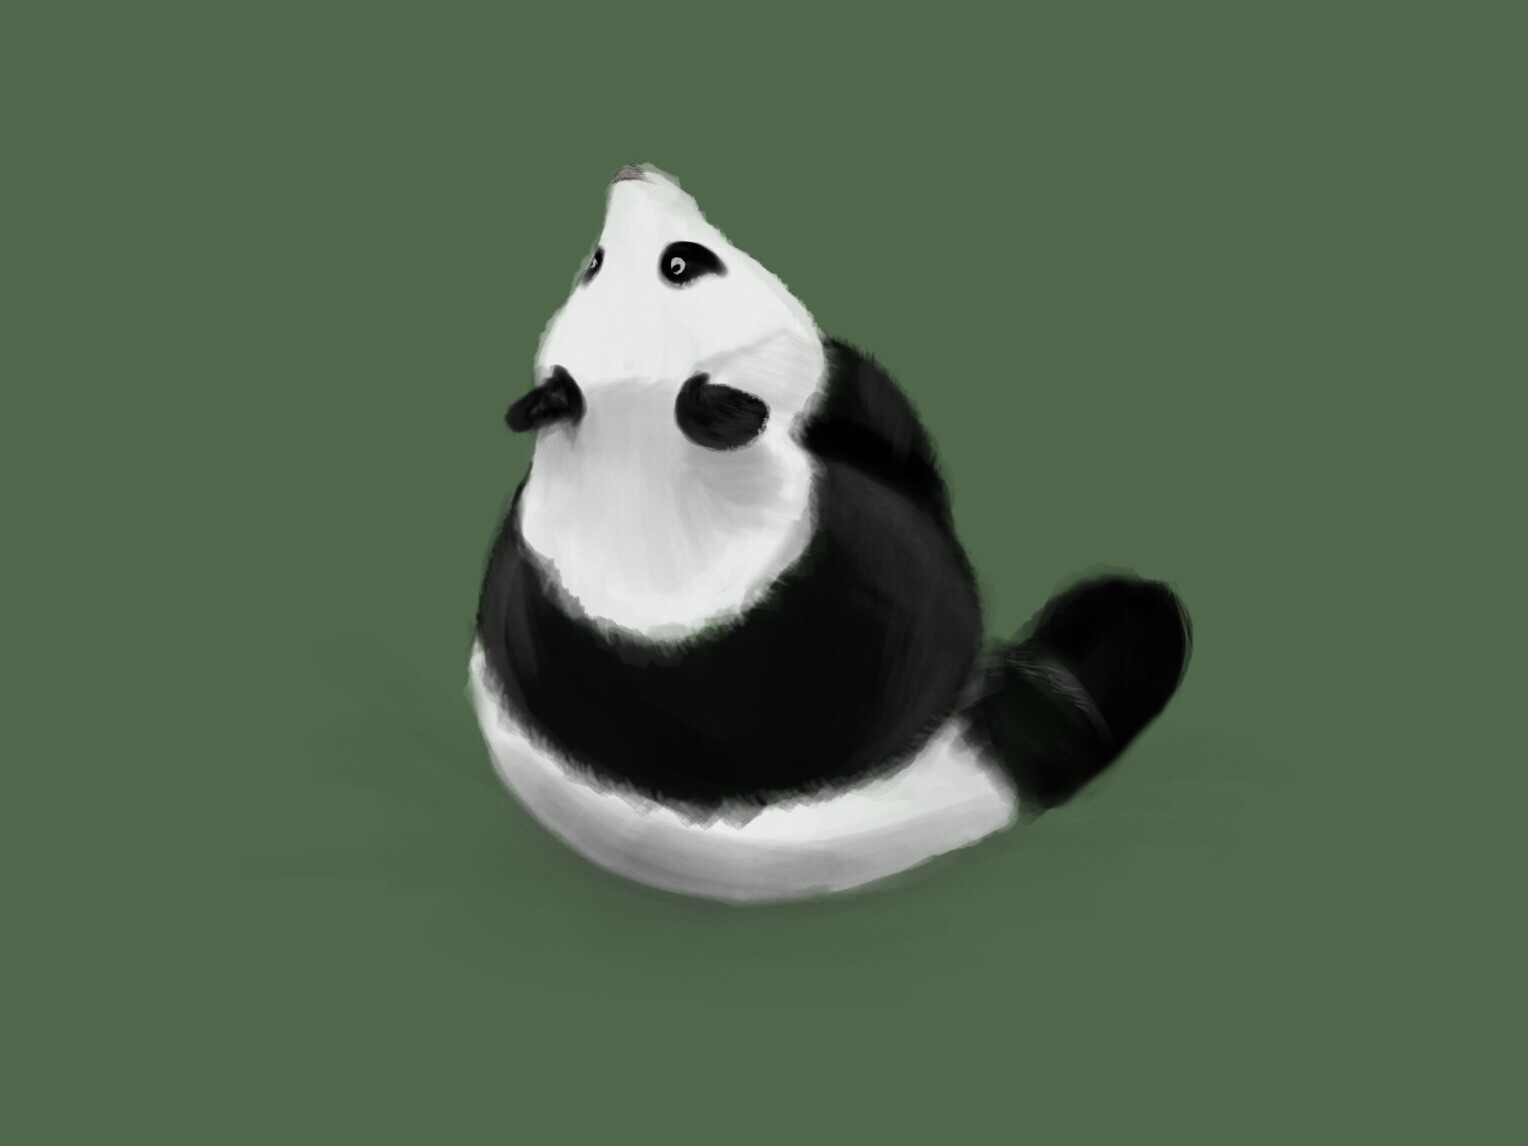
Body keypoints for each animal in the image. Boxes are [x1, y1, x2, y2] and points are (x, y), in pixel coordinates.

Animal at [469, 163, 1192, 904]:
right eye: (682, 263)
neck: (643, 491)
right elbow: (930, 573)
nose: (630, 173)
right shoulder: (849, 593)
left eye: (602, 263)